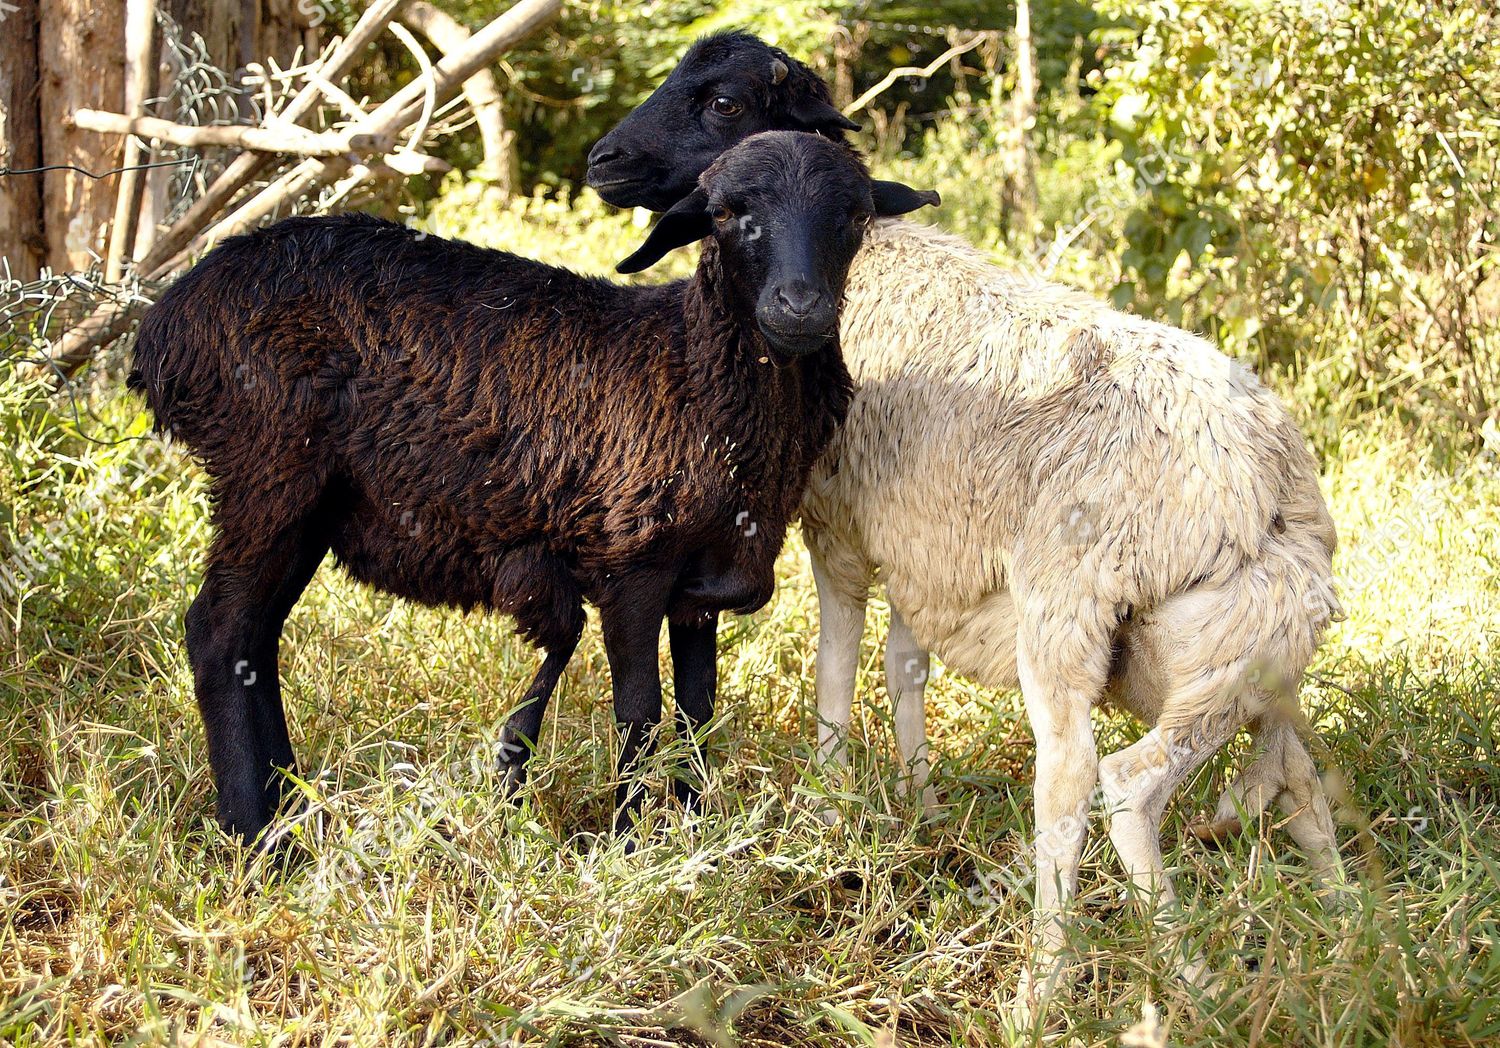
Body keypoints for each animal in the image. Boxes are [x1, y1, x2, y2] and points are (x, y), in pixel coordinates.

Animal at [129, 129, 938, 847]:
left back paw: (289, 809)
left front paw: (696, 832)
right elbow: (640, 714)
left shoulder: (701, 584)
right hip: (267, 467)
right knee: (218, 631)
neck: (688, 369)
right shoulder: (629, 562)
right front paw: (628, 845)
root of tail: (169, 322)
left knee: (255, 640)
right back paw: (256, 833)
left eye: (855, 216)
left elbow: (697, 713)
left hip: (305, 503)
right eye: (727, 212)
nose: (800, 307)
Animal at [589, 33, 1347, 1003]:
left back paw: (1070, 981)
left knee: (1092, 784)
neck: (866, 258)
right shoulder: (930, 548)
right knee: (1297, 771)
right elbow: (905, 666)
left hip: (1071, 617)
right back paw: (1351, 928)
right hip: (1231, 651)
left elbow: (837, 672)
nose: (602, 161)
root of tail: (1261, 486)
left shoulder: (841, 530)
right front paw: (919, 805)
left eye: (721, 102)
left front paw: (830, 809)